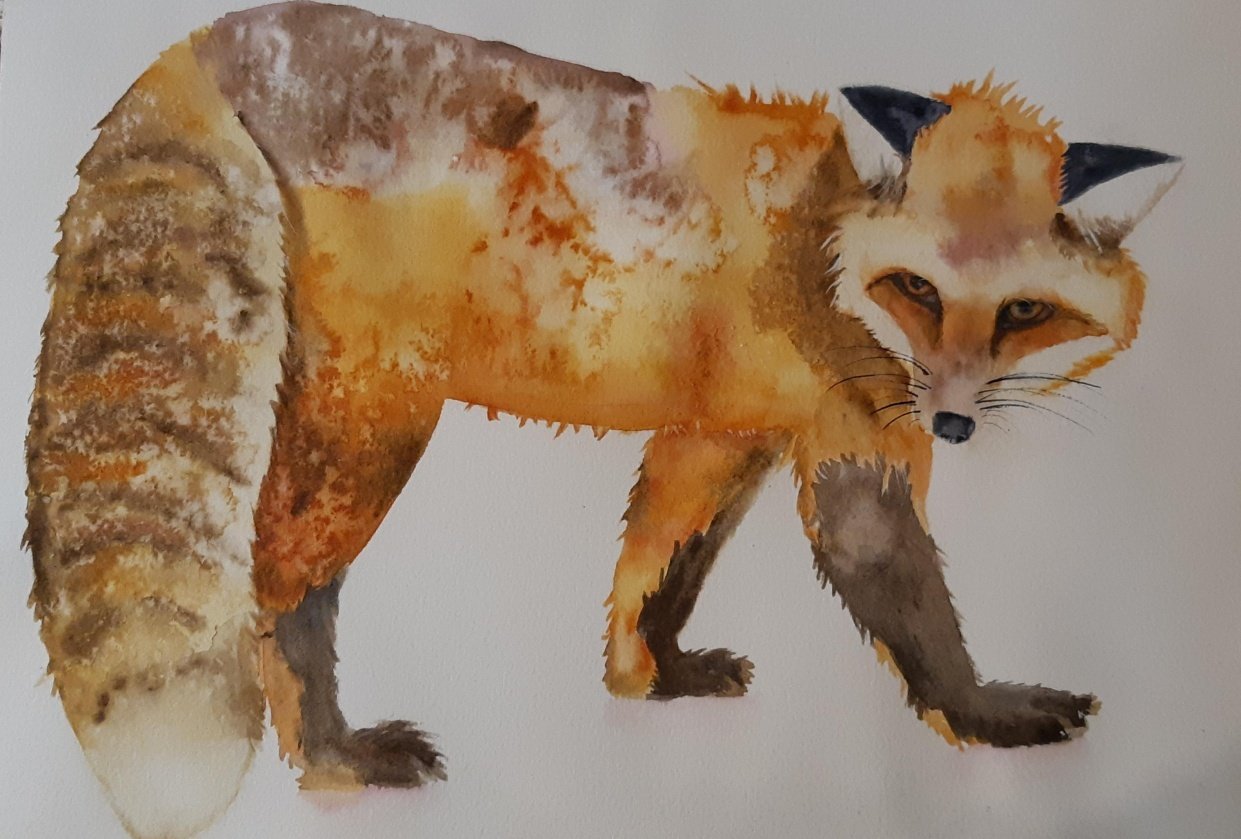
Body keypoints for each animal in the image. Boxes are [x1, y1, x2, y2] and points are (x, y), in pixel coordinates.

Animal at [23, 2, 1182, 837]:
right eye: (918, 291)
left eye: (1023, 311)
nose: (949, 423)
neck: (816, 238)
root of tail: (216, 34)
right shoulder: (853, 446)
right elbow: (915, 619)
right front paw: (987, 714)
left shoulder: (720, 435)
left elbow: (657, 566)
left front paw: (650, 677)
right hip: (370, 430)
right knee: (280, 594)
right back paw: (332, 757)